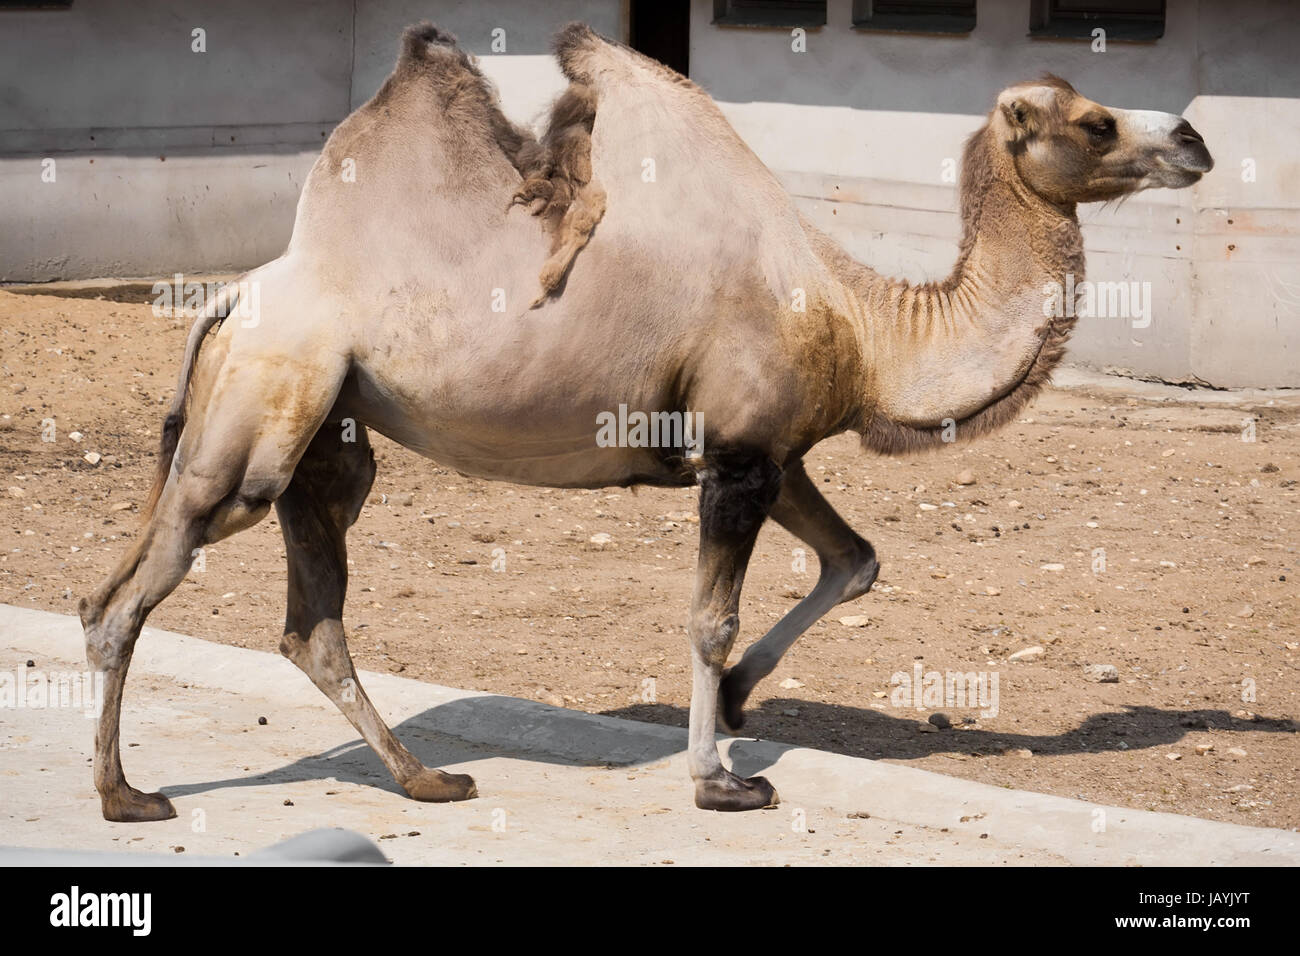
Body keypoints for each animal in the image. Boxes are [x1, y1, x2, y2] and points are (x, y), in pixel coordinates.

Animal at [79, 22, 1213, 820]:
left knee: (305, 620)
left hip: (330, 436)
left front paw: (743, 703)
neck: (862, 324)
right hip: (264, 412)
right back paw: (127, 796)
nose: (1196, 137)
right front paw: (719, 778)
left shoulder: (768, 451)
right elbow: (711, 617)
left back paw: (427, 780)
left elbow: (855, 561)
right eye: (1096, 122)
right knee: (130, 594)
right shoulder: (741, 460)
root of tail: (234, 297)